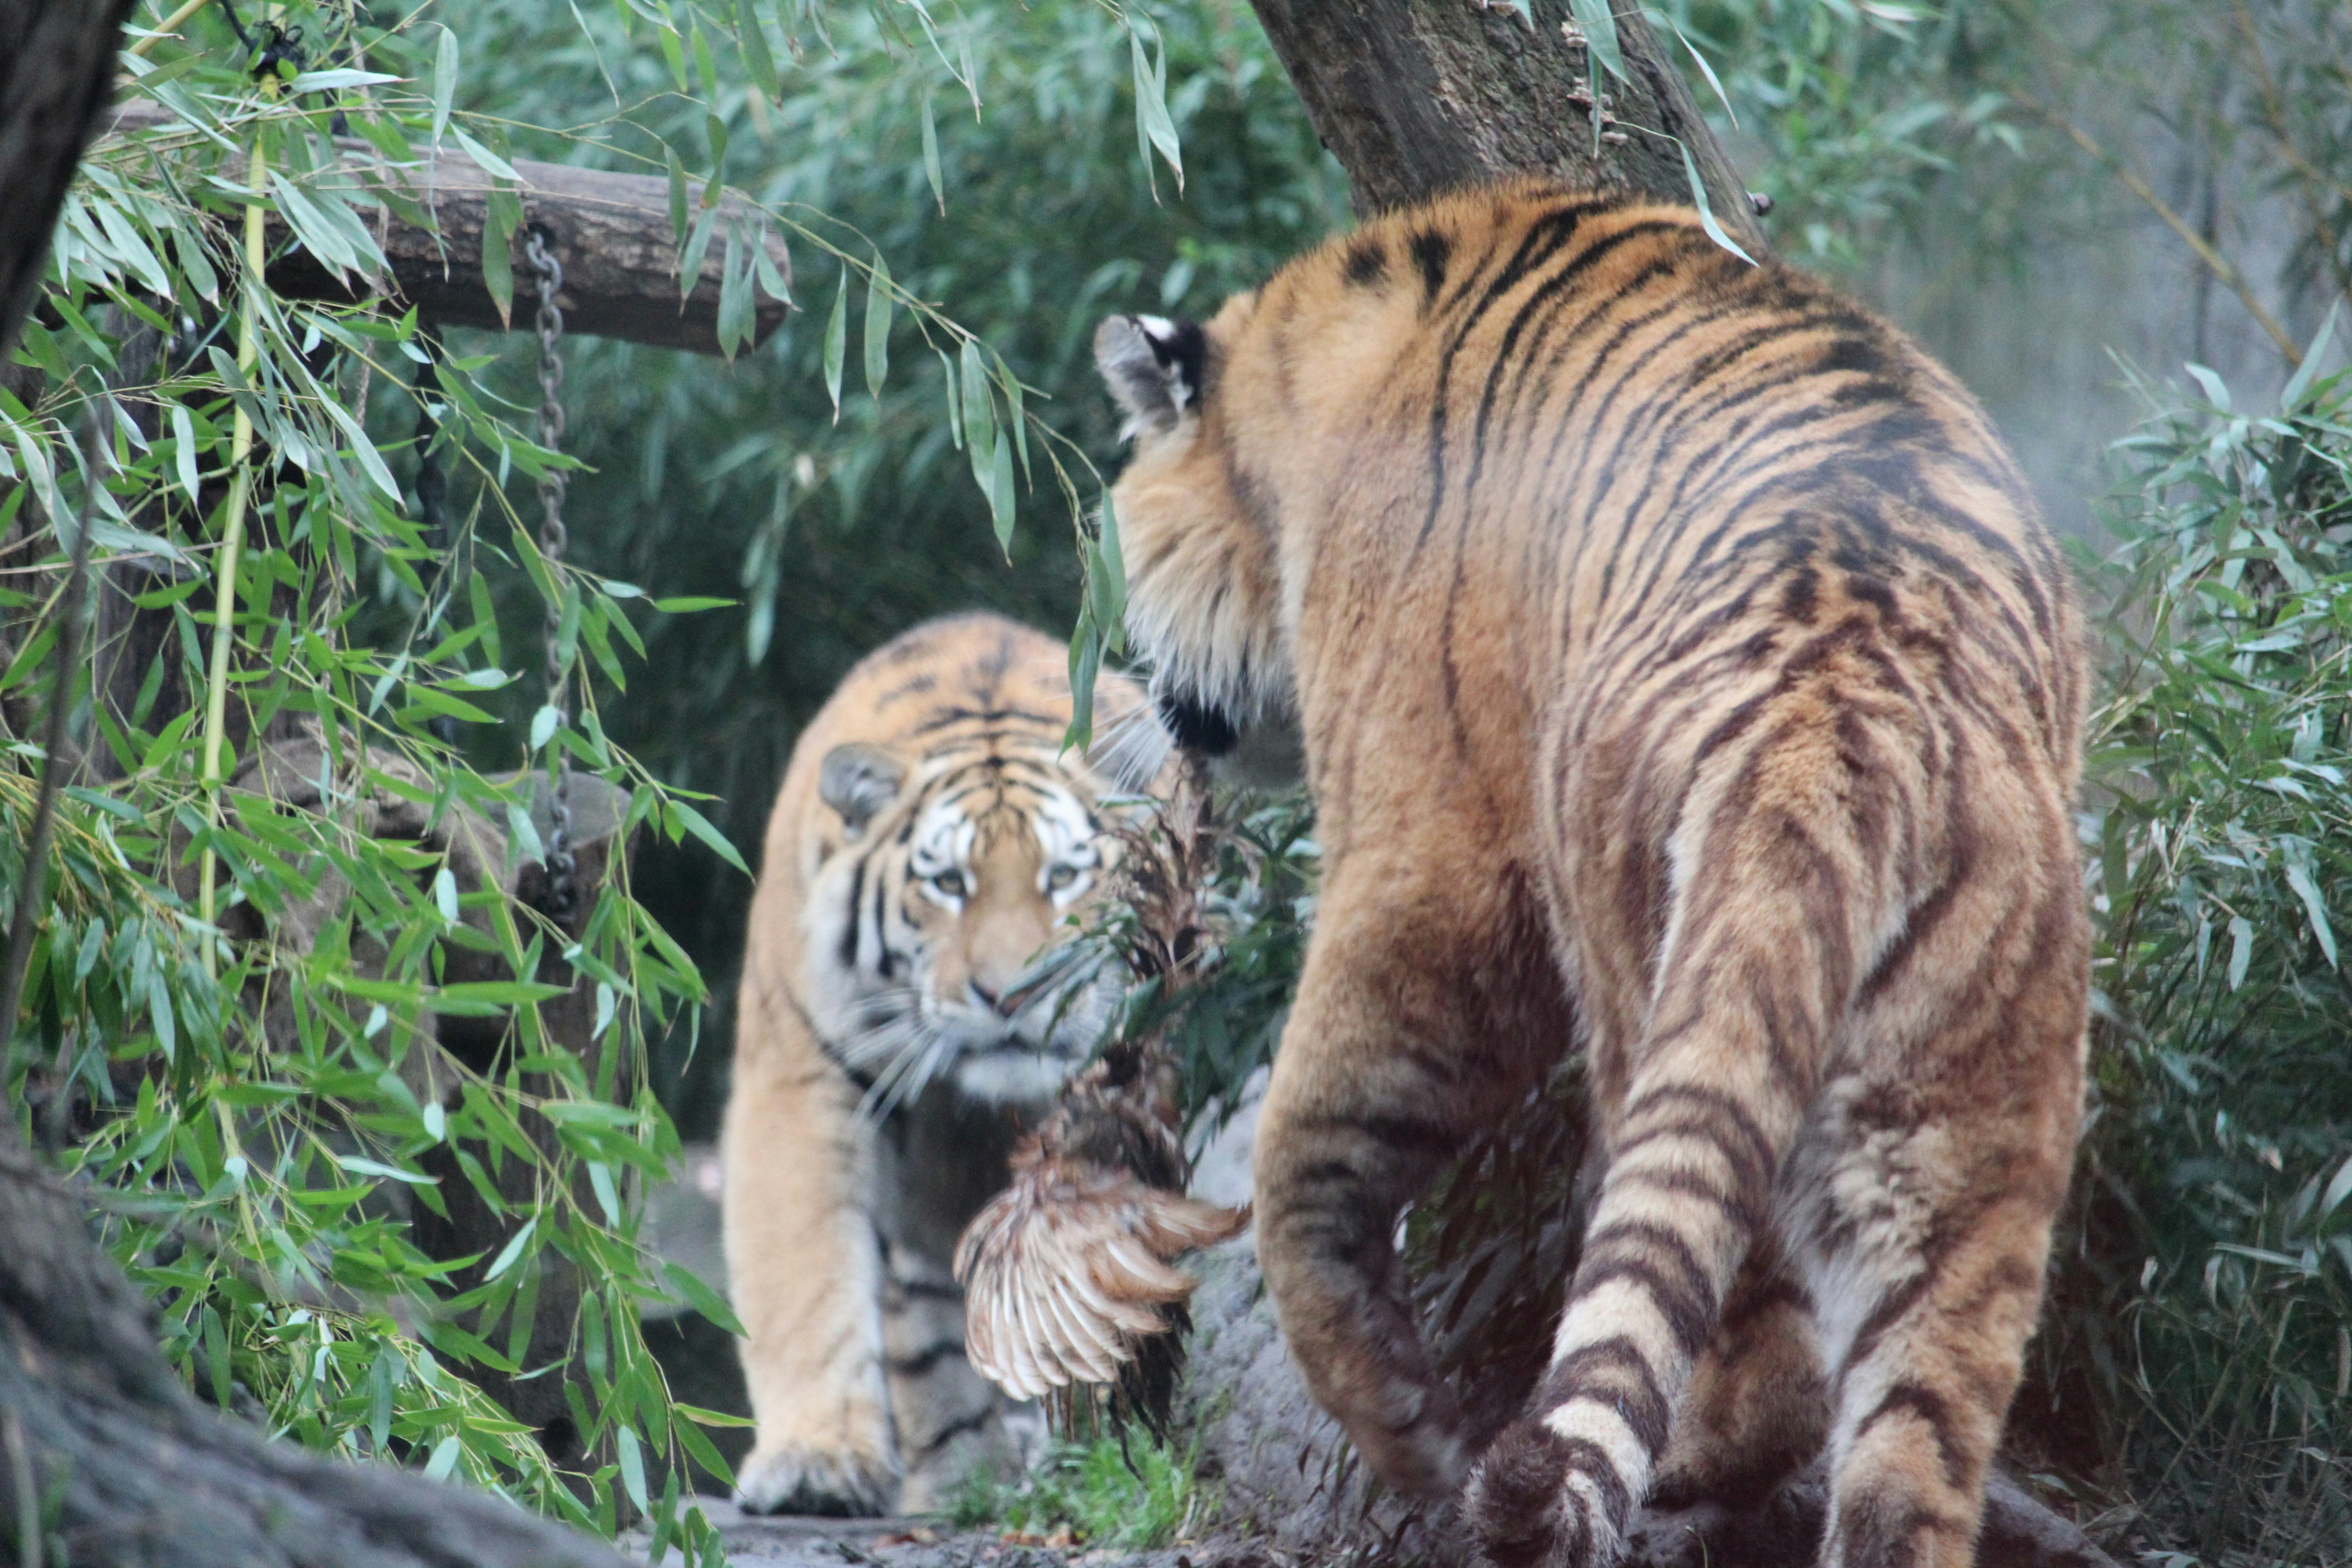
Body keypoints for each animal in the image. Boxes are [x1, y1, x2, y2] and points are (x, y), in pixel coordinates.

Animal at [722, 612, 1158, 1516]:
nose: (1012, 992)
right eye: (949, 883)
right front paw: (817, 1463)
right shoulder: (803, 1073)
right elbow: (802, 1268)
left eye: (1065, 876)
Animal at [1094, 180, 2089, 1568]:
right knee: (1908, 1447)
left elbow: (1301, 1146)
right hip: (1967, 1112)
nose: (1152, 706)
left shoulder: (1433, 848)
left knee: (1743, 1318)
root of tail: (1840, 714)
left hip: (1641, 978)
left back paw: (1668, 1457)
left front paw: (1409, 1429)